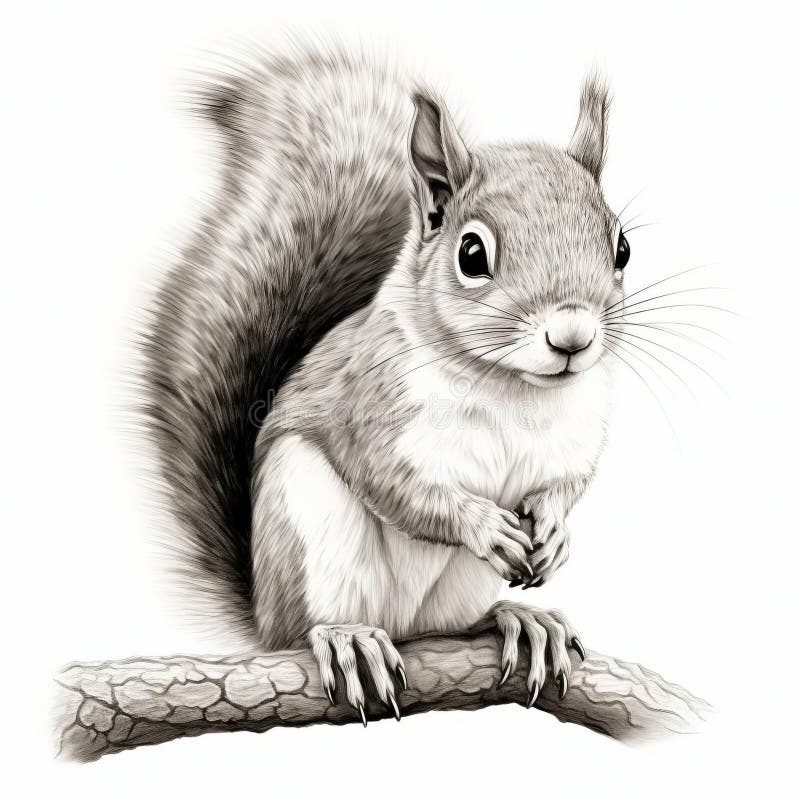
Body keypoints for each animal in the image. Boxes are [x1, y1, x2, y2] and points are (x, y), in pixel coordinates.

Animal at [142, 46, 628, 722]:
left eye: (622, 248)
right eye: (472, 254)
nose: (573, 337)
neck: (513, 387)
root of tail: (263, 612)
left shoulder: (580, 434)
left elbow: (567, 485)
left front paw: (554, 530)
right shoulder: (369, 406)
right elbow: (400, 488)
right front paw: (482, 525)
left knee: (452, 627)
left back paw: (518, 620)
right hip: (307, 527)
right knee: (307, 626)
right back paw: (346, 638)